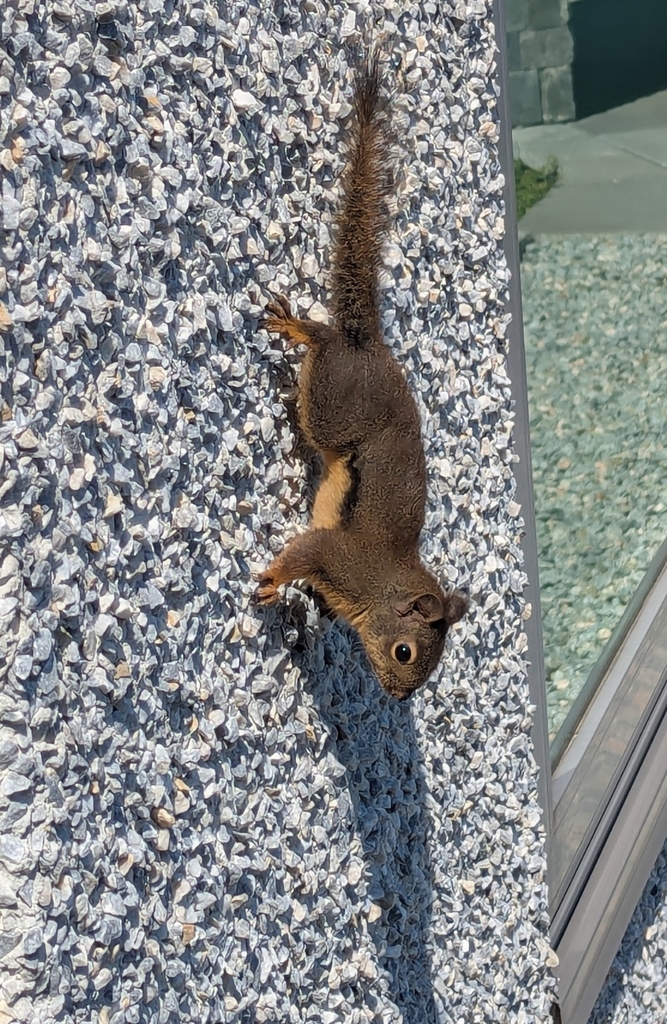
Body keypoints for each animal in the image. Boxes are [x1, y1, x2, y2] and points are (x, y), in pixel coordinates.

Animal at [256, 54, 468, 700]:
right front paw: (272, 578)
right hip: (329, 407)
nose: (398, 695)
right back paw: (301, 329)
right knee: (323, 345)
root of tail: (366, 343)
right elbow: (302, 553)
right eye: (405, 652)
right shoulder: (338, 554)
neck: (377, 592)